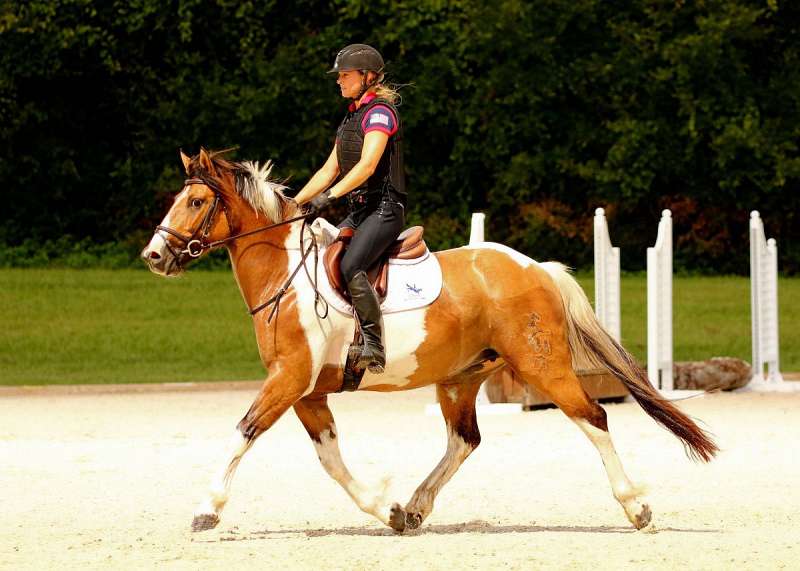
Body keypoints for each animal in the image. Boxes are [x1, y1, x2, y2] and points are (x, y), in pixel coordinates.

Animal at [141, 148, 717, 534]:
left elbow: (243, 432)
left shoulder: (288, 380)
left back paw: (636, 506)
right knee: (465, 439)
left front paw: (207, 509)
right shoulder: (307, 392)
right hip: (461, 379)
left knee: (593, 418)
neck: (286, 275)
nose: (154, 256)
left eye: (196, 200)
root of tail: (537, 267)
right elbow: (330, 460)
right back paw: (417, 506)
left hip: (543, 366)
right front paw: (388, 509)